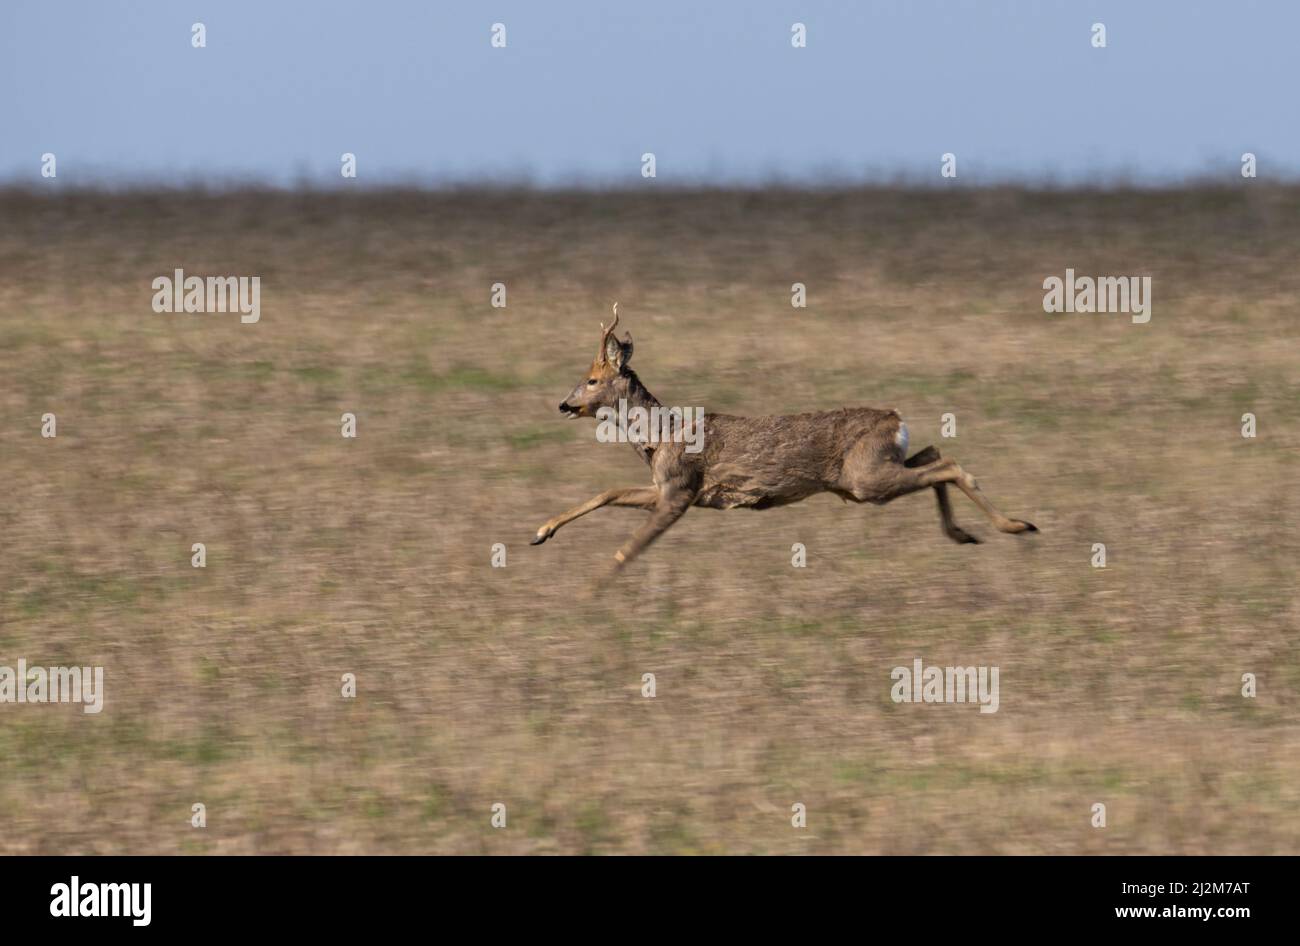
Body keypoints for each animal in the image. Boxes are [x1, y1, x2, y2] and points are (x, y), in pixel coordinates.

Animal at [531, 305, 1037, 574]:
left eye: (593, 379)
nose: (564, 404)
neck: (662, 436)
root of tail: (896, 419)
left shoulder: (679, 491)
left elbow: (632, 544)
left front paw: (595, 585)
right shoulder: (672, 490)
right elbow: (610, 491)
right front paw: (540, 533)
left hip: (864, 479)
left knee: (948, 464)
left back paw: (1017, 525)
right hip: (878, 468)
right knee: (935, 454)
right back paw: (965, 534)